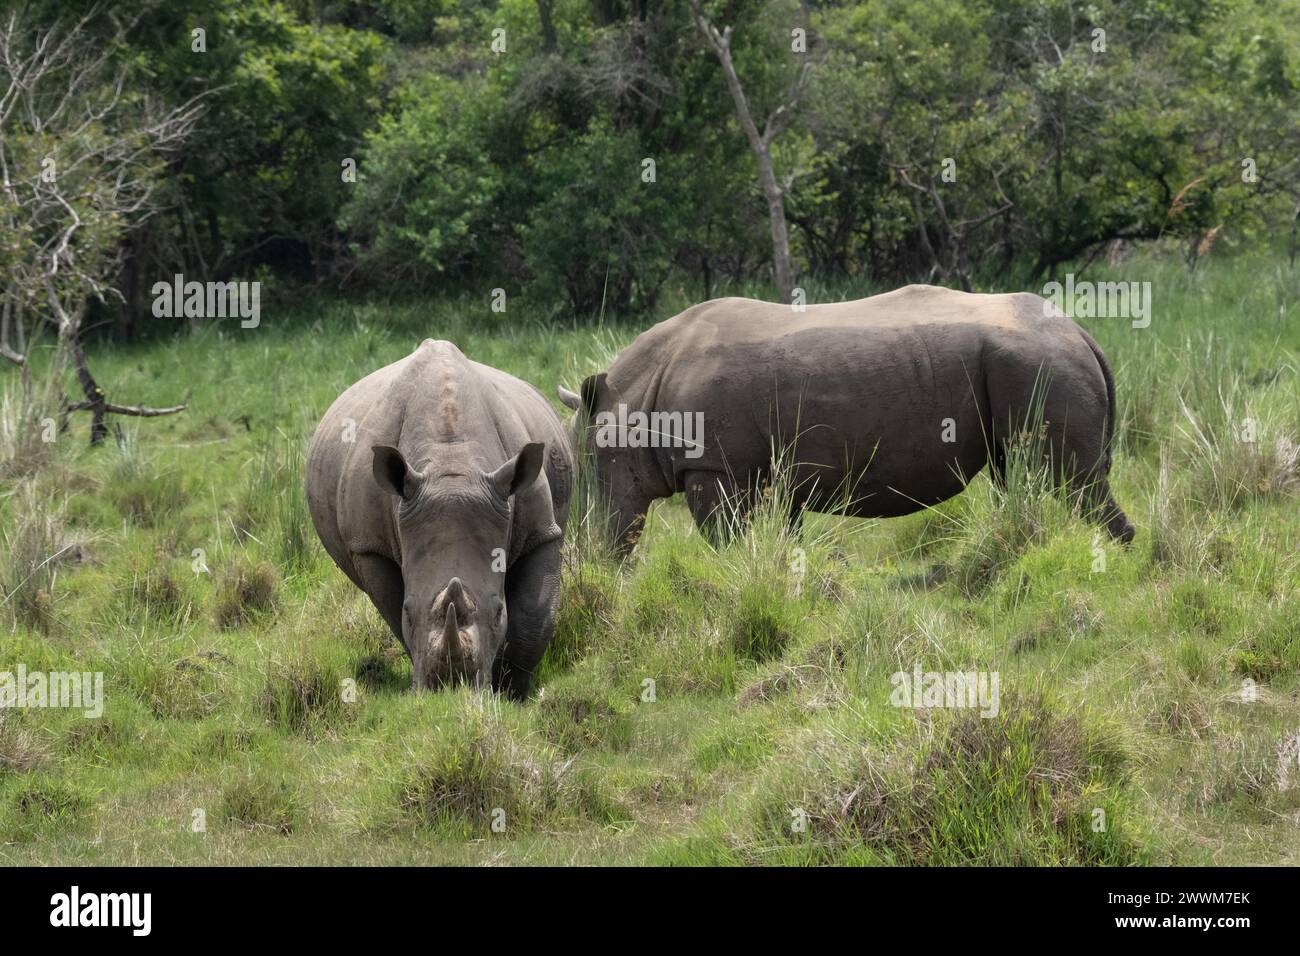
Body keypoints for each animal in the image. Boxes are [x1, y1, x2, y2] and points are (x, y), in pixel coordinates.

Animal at [307, 340, 571, 699]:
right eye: (409, 612)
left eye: (498, 613)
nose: (449, 690)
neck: (453, 462)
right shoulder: (369, 545)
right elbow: (394, 611)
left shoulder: (541, 531)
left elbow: (534, 615)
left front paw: (511, 692)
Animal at [559, 285, 1134, 554]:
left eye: (593, 475)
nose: (592, 553)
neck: (635, 397)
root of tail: (1082, 333)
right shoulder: (766, 471)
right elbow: (782, 536)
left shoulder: (714, 467)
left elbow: (725, 539)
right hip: (1032, 364)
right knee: (1024, 477)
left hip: (1040, 364)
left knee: (1072, 482)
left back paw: (1118, 564)